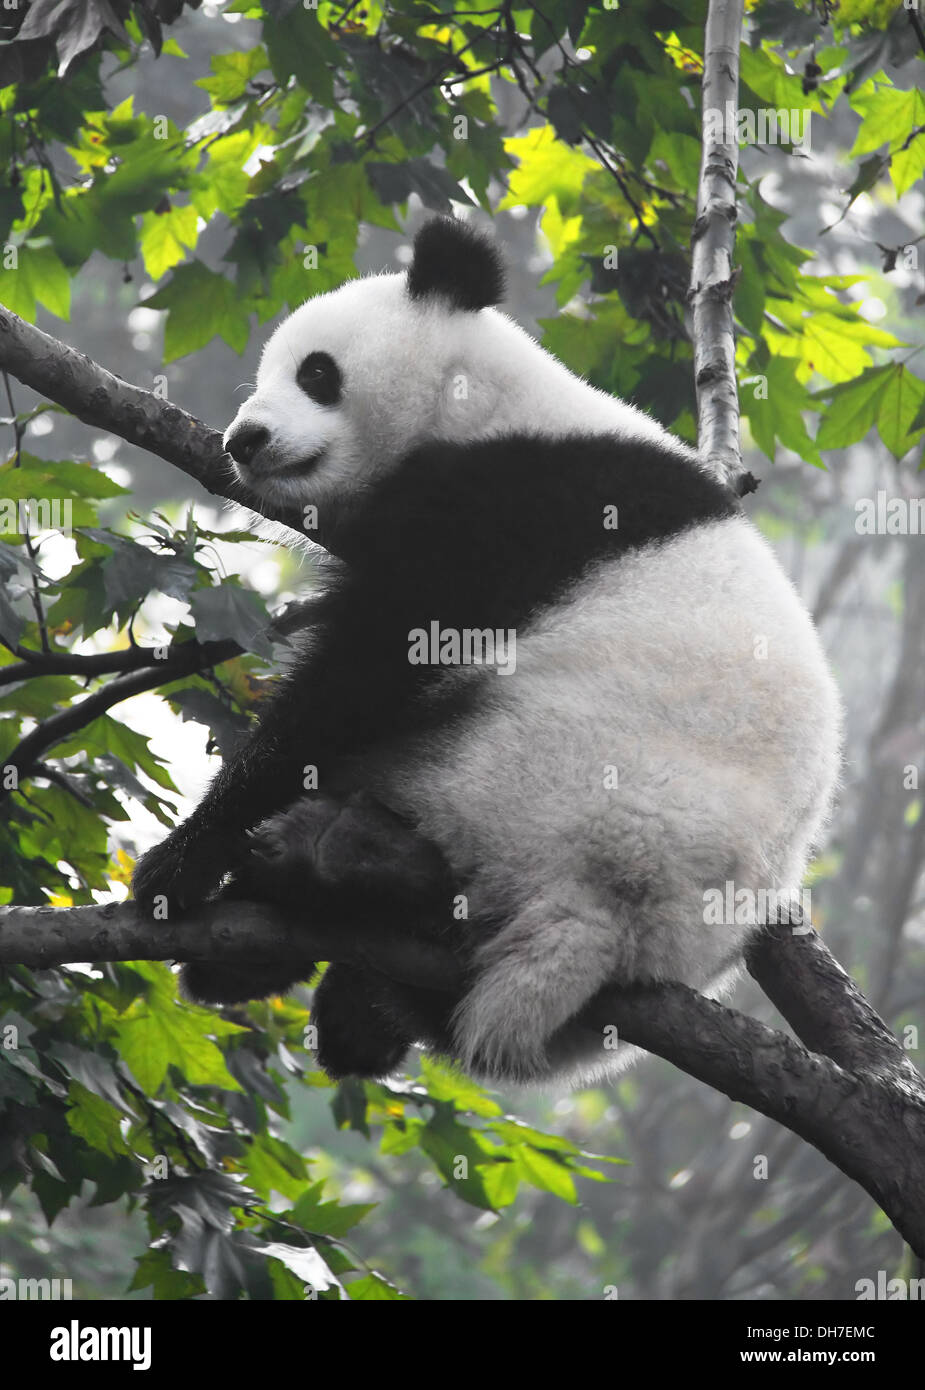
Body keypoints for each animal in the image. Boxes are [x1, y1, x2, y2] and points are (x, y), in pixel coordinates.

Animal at [133, 216, 843, 1086]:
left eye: (317, 372)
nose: (245, 439)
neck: (480, 399)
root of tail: (606, 928)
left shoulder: (507, 507)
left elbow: (362, 677)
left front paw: (178, 865)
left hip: (541, 775)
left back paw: (341, 859)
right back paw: (304, 972)